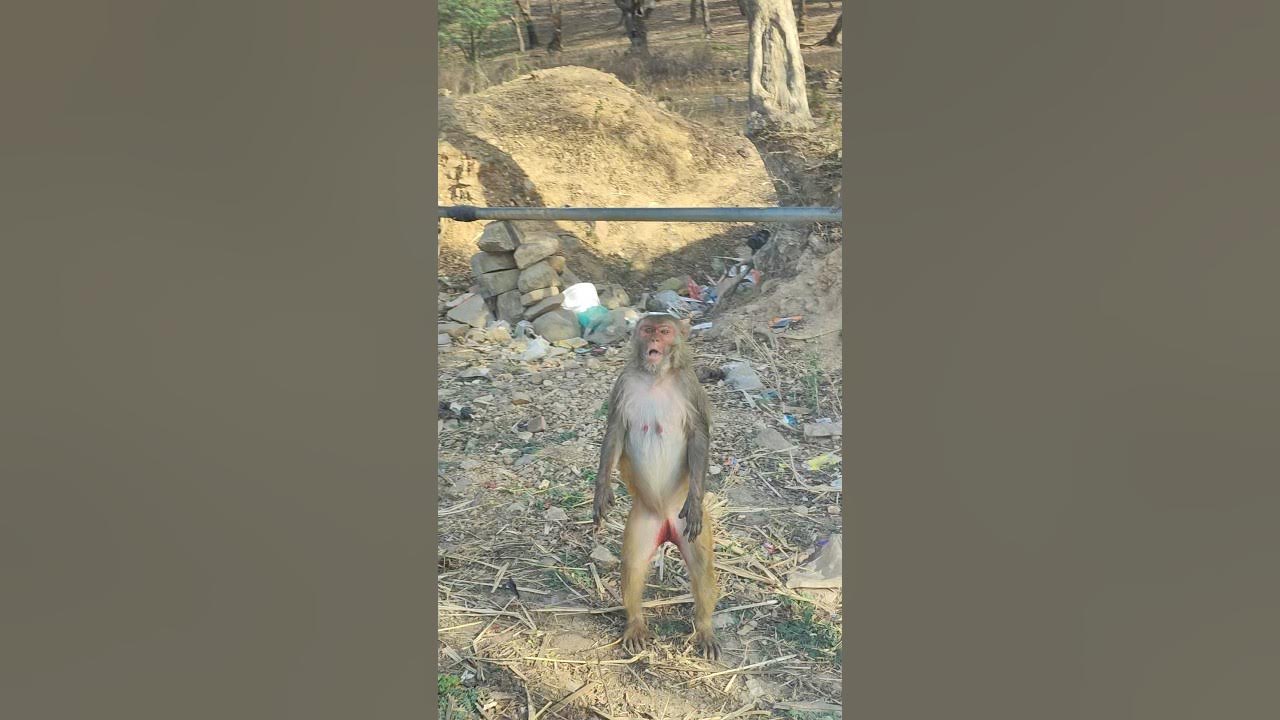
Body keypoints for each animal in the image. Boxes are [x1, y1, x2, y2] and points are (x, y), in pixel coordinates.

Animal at [593, 312, 721, 660]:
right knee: (633, 565)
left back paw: (704, 628)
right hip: (643, 520)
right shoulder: (623, 383)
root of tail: (665, 521)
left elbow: (698, 436)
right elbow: (615, 431)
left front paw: (695, 499)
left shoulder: (690, 387)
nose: (653, 341)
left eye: (664, 332)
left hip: (683, 524)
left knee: (701, 567)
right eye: (648, 330)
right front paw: (601, 490)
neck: (656, 378)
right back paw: (636, 623)